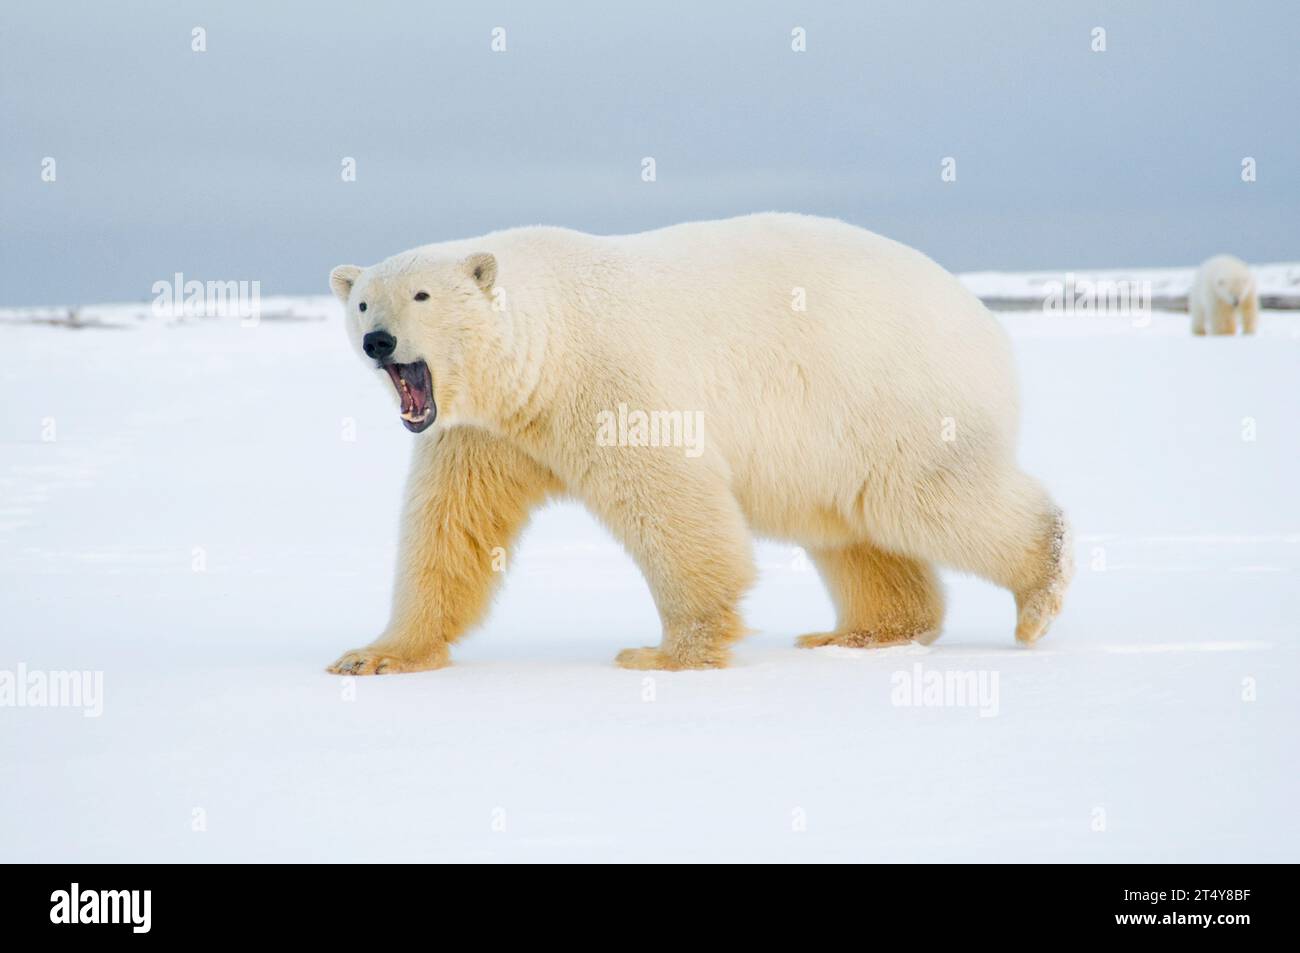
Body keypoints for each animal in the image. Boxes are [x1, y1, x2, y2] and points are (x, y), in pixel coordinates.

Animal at [326, 213, 1072, 674]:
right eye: (362, 302)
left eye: (422, 295)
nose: (378, 341)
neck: (543, 348)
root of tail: (984, 319)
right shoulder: (481, 432)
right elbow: (452, 528)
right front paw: (375, 654)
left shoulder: (610, 377)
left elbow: (669, 499)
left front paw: (667, 652)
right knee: (850, 526)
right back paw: (859, 631)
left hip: (892, 394)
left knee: (926, 498)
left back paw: (1041, 590)